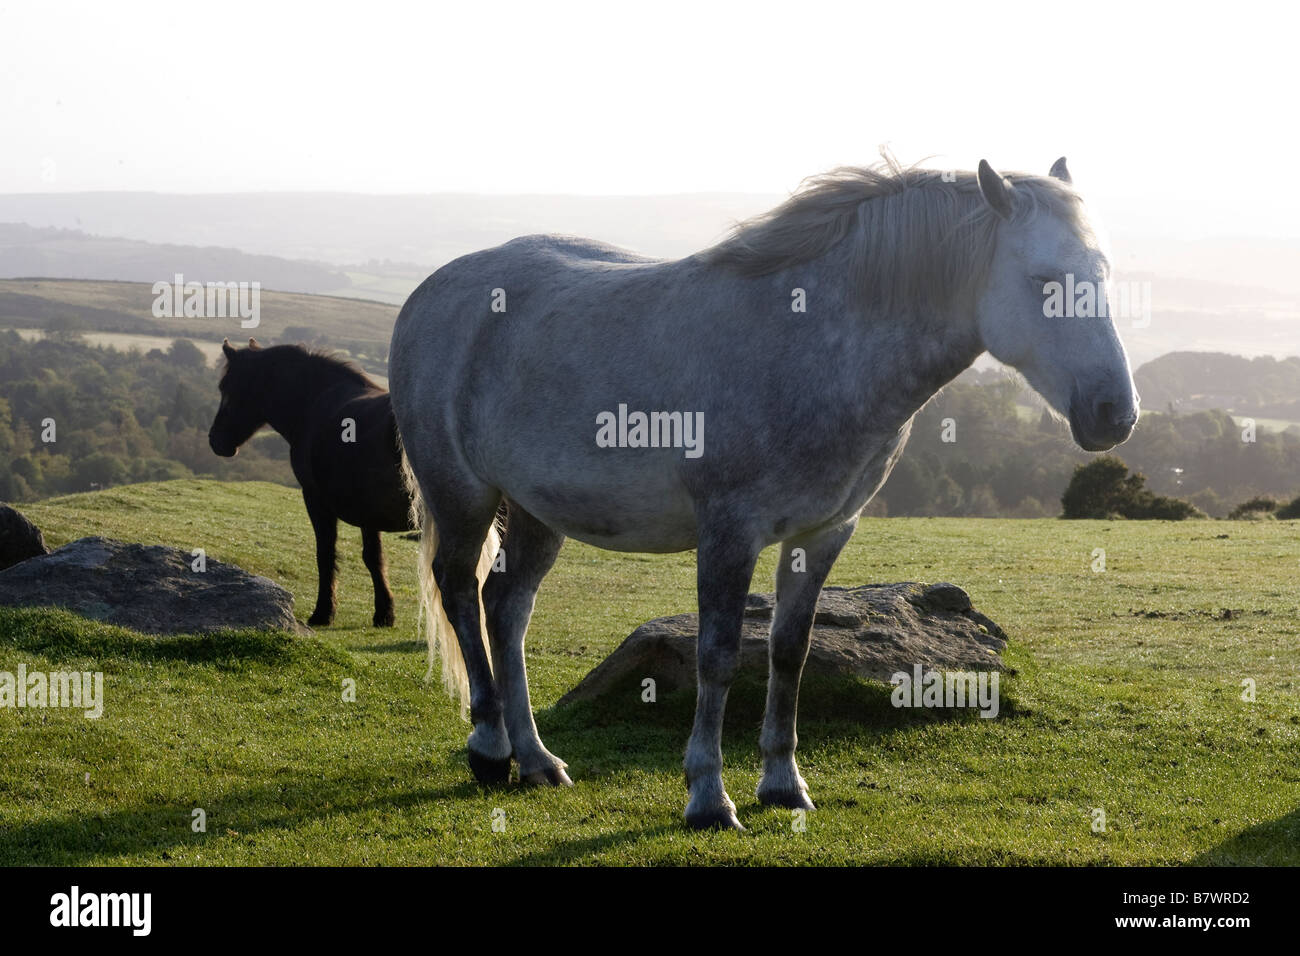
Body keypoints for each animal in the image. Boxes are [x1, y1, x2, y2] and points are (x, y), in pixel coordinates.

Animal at [208, 339, 414, 628]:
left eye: (226, 387)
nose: (216, 440)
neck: (315, 403)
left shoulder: (316, 500)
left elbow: (325, 554)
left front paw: (323, 612)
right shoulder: (368, 512)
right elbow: (374, 558)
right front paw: (384, 612)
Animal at [389, 155, 1138, 829]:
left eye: (1104, 277)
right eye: (1044, 281)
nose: (1115, 413)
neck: (809, 343)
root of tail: (433, 290)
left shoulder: (823, 533)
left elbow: (788, 651)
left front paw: (782, 784)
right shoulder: (729, 532)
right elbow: (718, 658)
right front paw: (707, 797)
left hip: (538, 512)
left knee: (506, 610)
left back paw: (539, 760)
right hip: (463, 496)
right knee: (460, 595)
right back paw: (490, 750)